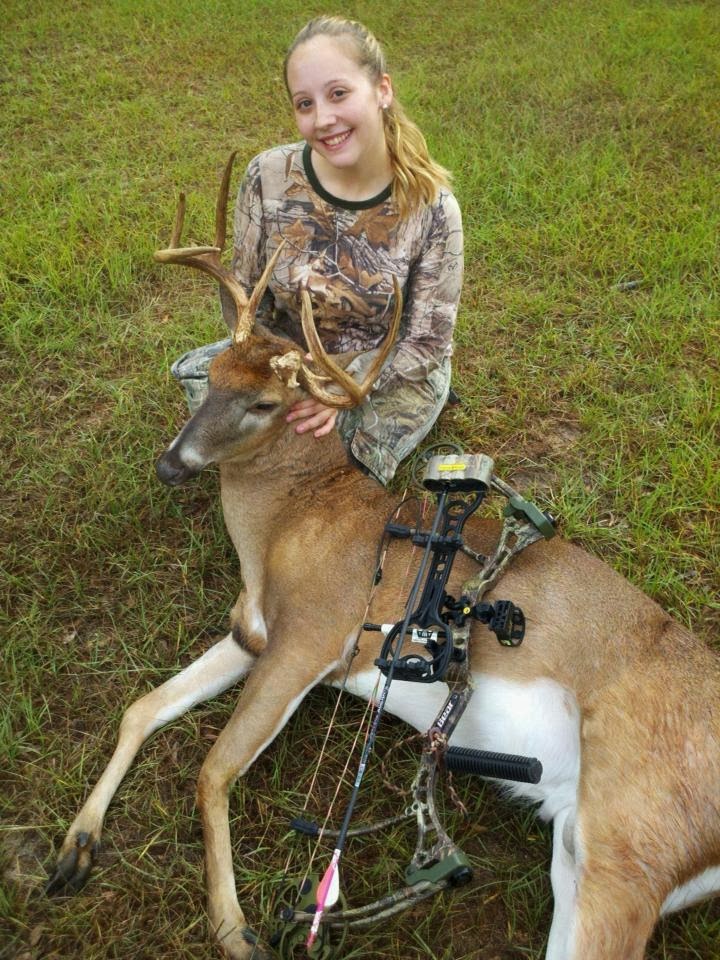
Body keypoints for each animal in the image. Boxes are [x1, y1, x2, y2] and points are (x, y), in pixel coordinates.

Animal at [46, 155, 720, 960]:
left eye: (265, 404)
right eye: (212, 377)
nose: (170, 464)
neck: (283, 527)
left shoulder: (314, 635)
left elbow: (213, 770)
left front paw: (235, 928)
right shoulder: (252, 632)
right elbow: (141, 707)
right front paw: (73, 850)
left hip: (633, 831)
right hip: (584, 845)